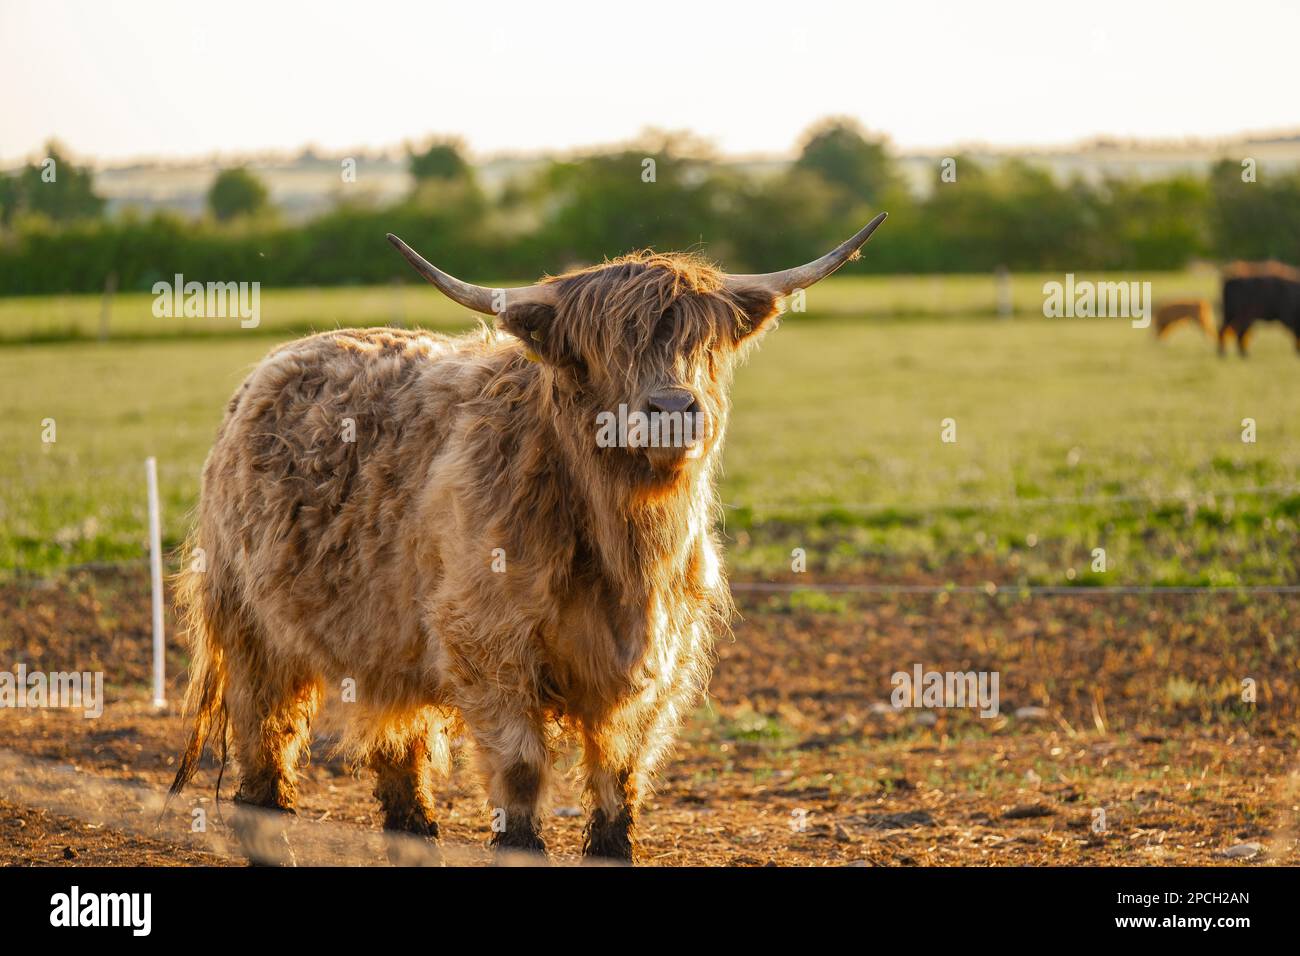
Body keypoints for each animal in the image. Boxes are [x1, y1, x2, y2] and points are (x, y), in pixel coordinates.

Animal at [169, 213, 888, 864]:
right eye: (599, 352)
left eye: (707, 343)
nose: (673, 411)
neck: (622, 551)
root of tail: (284, 358)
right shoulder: (488, 647)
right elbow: (519, 778)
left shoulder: (656, 669)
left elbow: (618, 783)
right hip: (257, 636)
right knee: (265, 762)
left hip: (385, 650)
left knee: (402, 774)